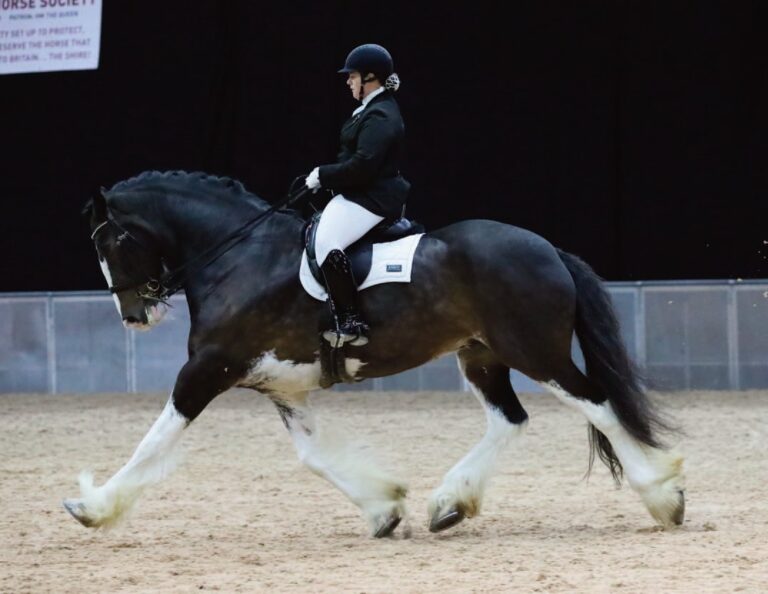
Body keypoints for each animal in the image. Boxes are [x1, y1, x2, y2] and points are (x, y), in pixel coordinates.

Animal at [64, 170, 685, 538]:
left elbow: (154, 439)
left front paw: (93, 507)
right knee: (510, 419)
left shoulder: (208, 369)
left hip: (537, 353)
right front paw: (384, 509)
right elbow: (313, 455)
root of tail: (547, 248)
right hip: (481, 355)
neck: (239, 257)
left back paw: (663, 497)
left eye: (107, 241)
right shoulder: (279, 384)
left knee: (597, 404)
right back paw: (450, 504)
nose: (134, 316)